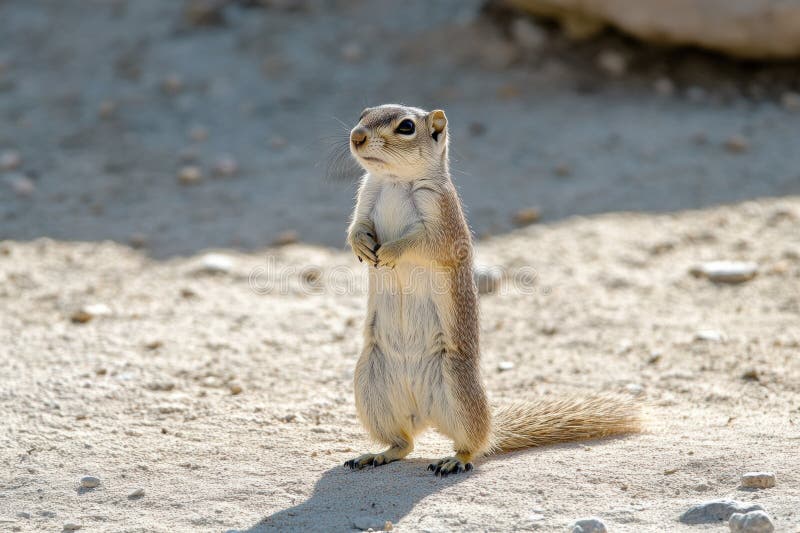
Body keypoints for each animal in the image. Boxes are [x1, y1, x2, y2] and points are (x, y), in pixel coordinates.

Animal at [344, 104, 641, 476]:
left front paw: (391, 252)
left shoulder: (442, 222)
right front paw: (361, 245)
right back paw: (377, 454)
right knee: (405, 443)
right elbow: (356, 226)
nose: (356, 136)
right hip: (370, 386)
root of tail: (424, 414)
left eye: (406, 127)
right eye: (362, 114)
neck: (394, 182)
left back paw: (454, 460)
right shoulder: (365, 199)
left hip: (457, 388)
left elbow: (422, 244)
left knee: (473, 444)